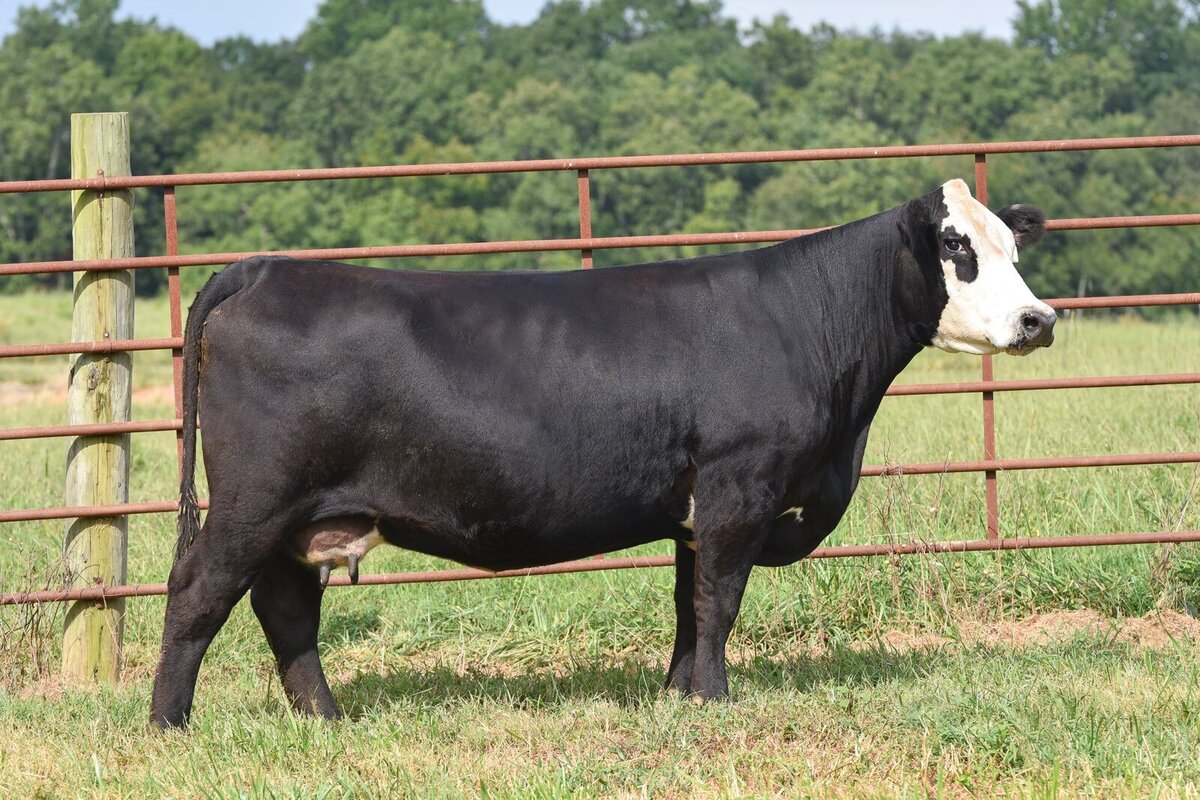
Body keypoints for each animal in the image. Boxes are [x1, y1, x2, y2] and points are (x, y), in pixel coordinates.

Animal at [149, 178, 1054, 728]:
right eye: (955, 247)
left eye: (1014, 248)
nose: (1038, 319)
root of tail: (267, 269)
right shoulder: (739, 487)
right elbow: (721, 601)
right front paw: (716, 702)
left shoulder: (696, 506)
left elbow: (689, 605)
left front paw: (680, 697)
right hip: (255, 499)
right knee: (199, 592)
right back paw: (169, 724)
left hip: (301, 514)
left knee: (285, 608)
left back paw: (326, 721)